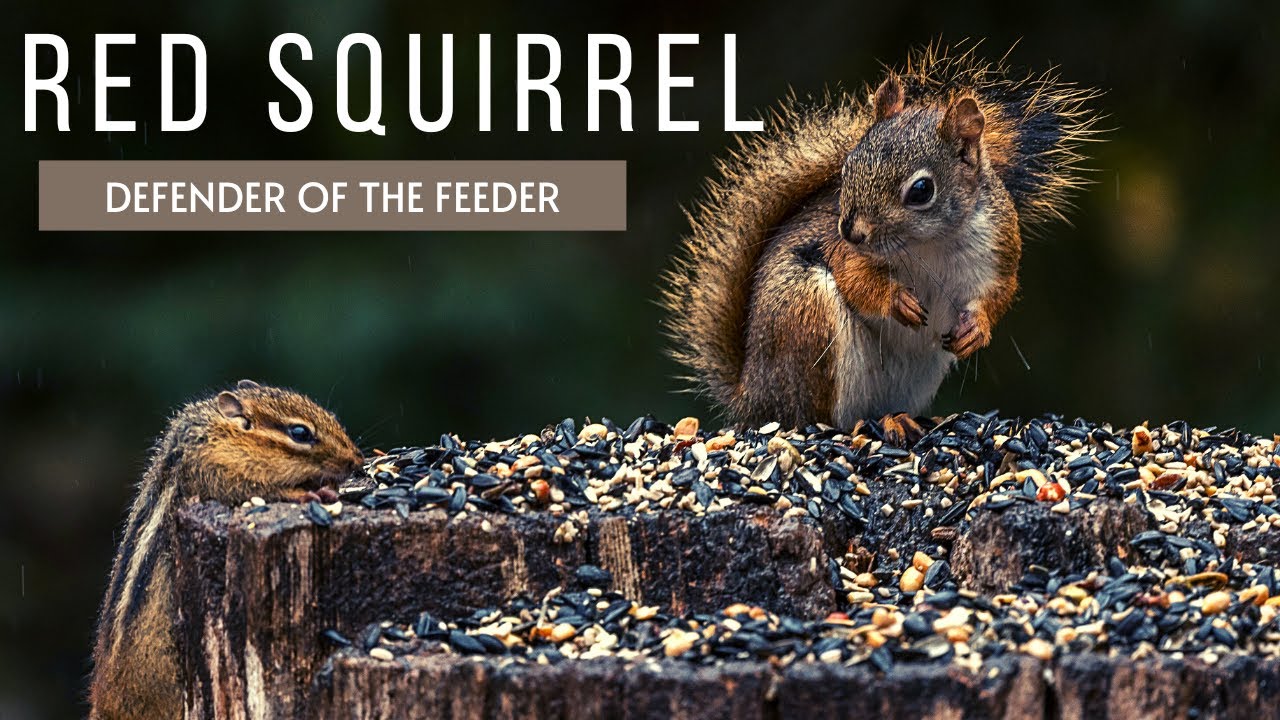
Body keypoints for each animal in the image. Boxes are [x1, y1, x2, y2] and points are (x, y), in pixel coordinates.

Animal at [89, 380, 364, 720]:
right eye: (300, 433)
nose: (358, 461)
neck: (220, 433)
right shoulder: (216, 471)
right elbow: (257, 488)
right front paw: (308, 493)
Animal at [662, 43, 1103, 432]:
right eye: (847, 168)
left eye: (921, 190)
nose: (851, 230)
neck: (929, 245)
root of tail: (753, 397)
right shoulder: (845, 253)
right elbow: (855, 276)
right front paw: (897, 301)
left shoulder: (999, 246)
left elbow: (999, 292)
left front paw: (976, 330)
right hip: (805, 316)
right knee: (821, 418)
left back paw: (906, 419)